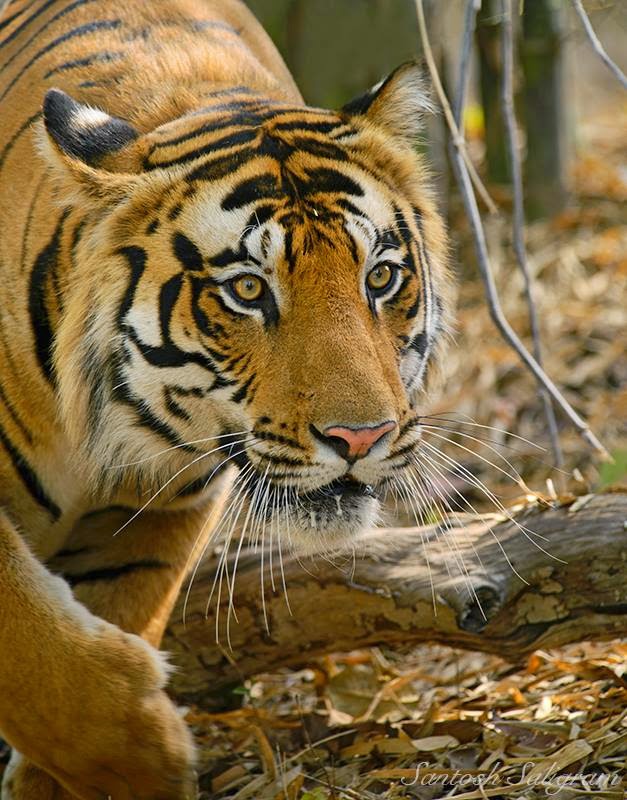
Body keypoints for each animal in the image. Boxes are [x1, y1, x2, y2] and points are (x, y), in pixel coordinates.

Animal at [0, 0, 452, 796]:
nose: (360, 439)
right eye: (246, 289)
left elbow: (106, 614)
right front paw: (151, 752)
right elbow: (25, 644)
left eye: (380, 277)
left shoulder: (154, 508)